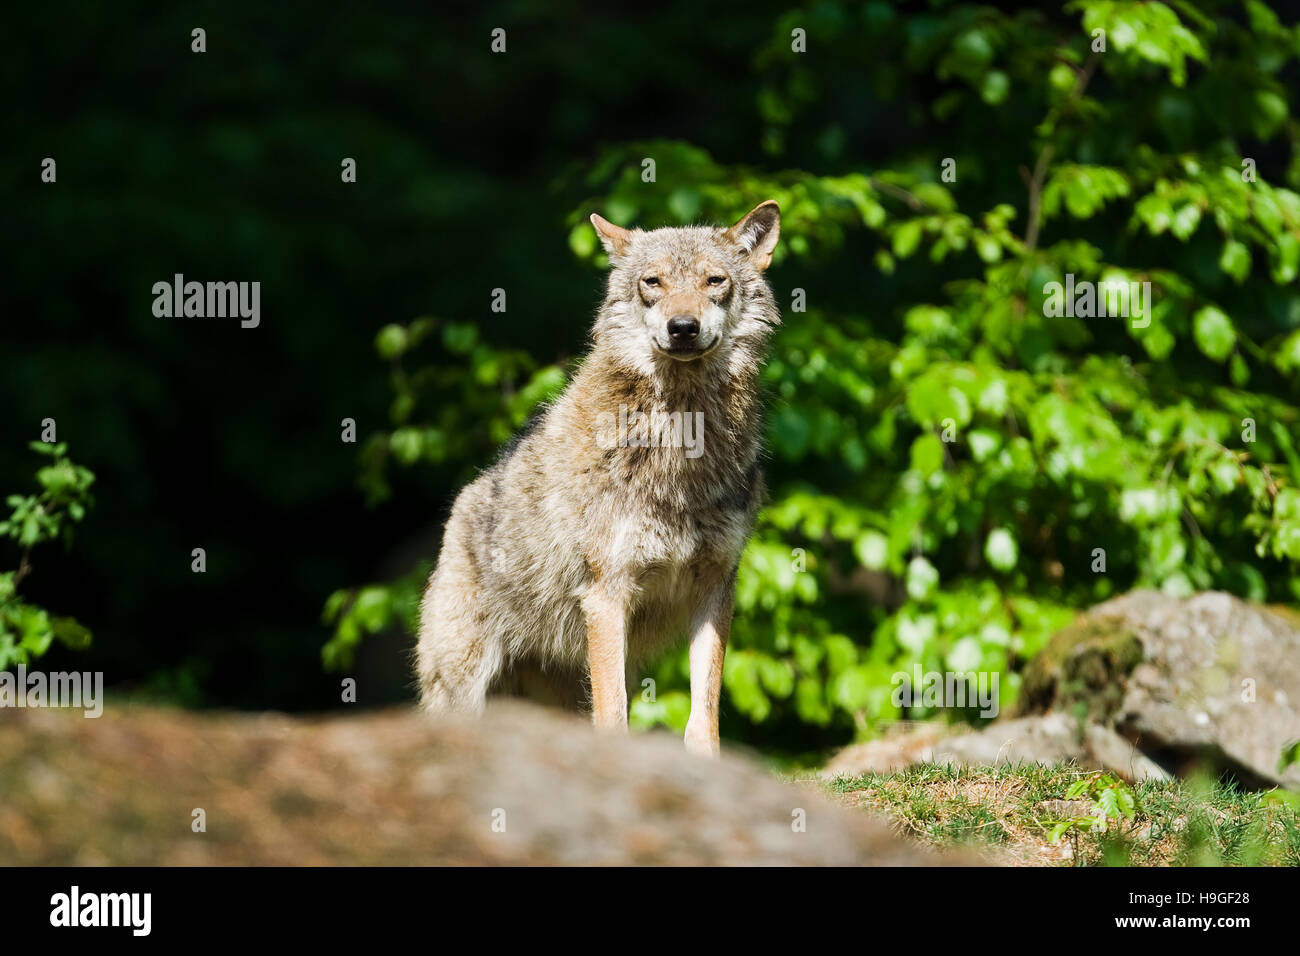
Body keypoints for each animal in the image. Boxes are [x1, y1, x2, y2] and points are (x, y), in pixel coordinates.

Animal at [415, 200, 781, 755]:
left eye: (714, 280)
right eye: (653, 282)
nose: (682, 326)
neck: (680, 441)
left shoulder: (716, 586)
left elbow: (705, 712)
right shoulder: (608, 593)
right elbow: (615, 714)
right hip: (463, 686)